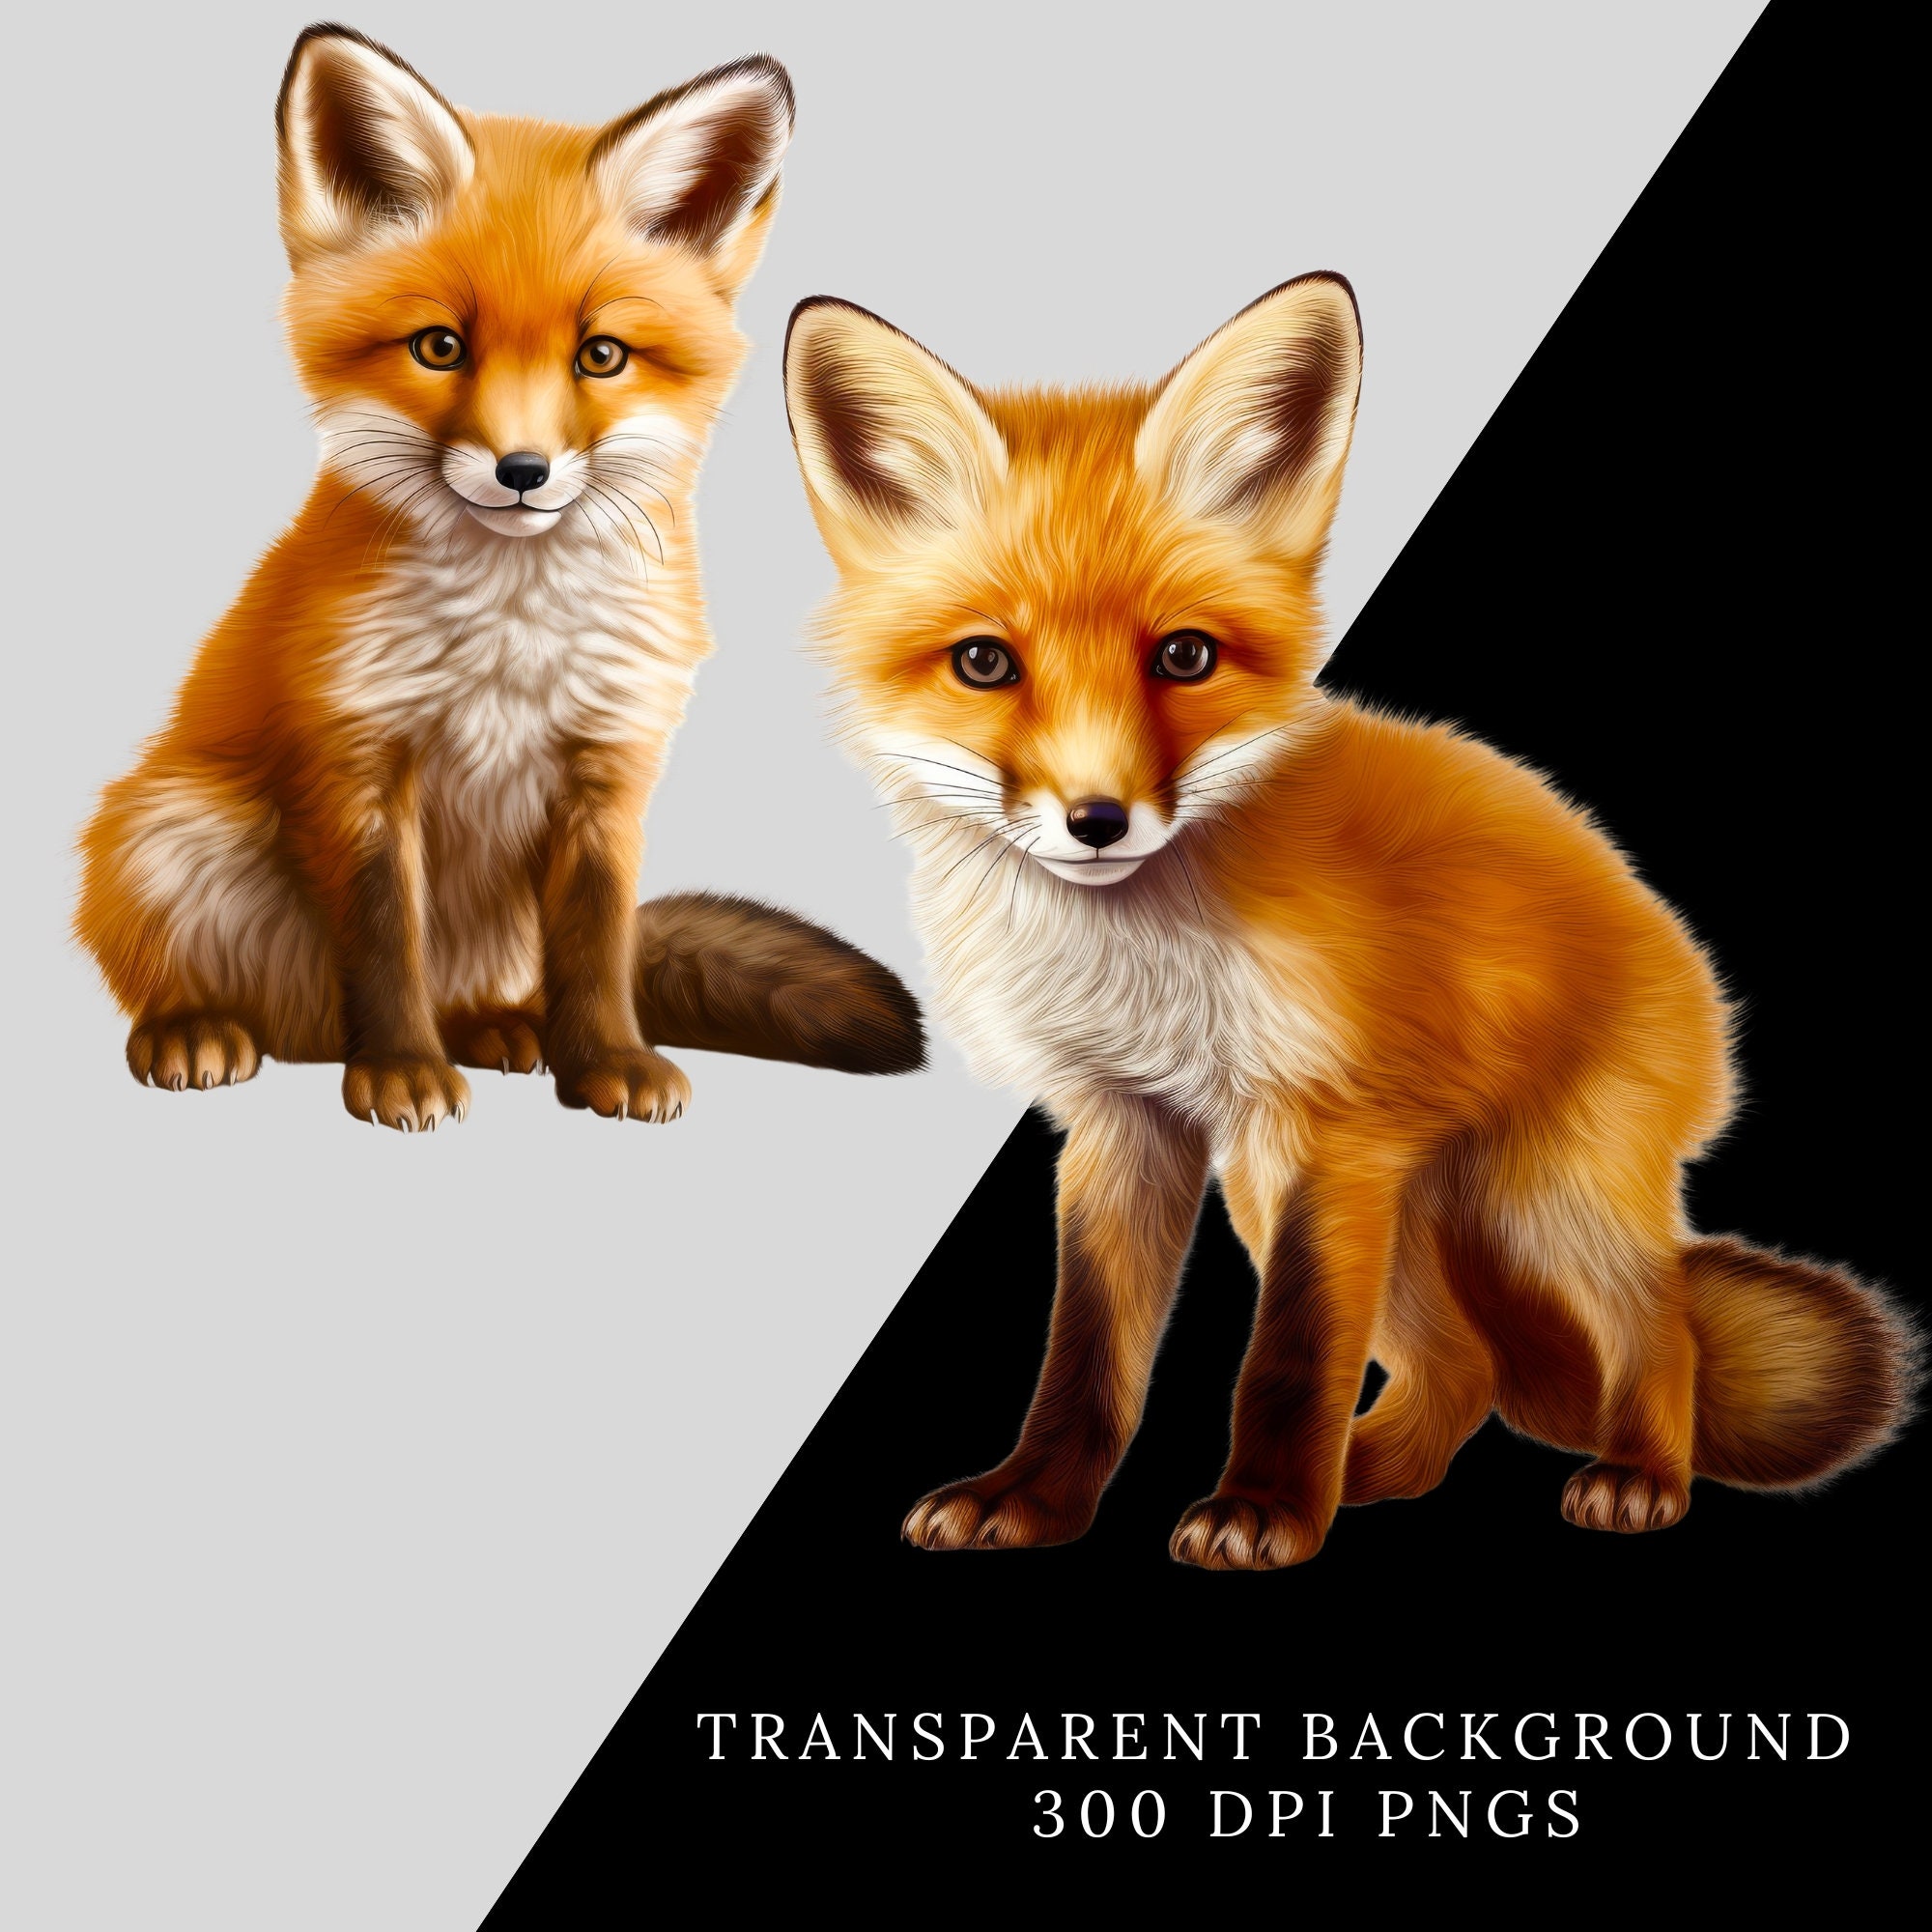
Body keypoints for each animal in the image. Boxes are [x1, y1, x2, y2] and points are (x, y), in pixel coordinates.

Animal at [75, 25, 923, 1131]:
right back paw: (199, 1026)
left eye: (600, 355)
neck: (514, 638)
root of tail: (303, 1031)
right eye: (440, 346)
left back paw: (500, 1032)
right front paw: (399, 1070)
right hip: (170, 827)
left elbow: (598, 949)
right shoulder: (360, 760)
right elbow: (387, 941)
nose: (523, 471)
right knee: (197, 983)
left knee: (512, 986)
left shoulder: (607, 769)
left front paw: (608, 1060)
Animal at [781, 275, 1918, 1568]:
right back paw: (1366, 1472)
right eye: (984, 662)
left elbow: (1288, 1355)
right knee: (1463, 1365)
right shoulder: (1123, 1122)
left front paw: (1265, 1507)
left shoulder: (1323, 1126)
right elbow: (1087, 1353)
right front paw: (1032, 1498)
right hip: (1318, 1195)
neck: (1138, 957)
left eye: (1183, 655)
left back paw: (1635, 1472)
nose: (1097, 820)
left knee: (1655, 1319)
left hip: (1534, 1194)